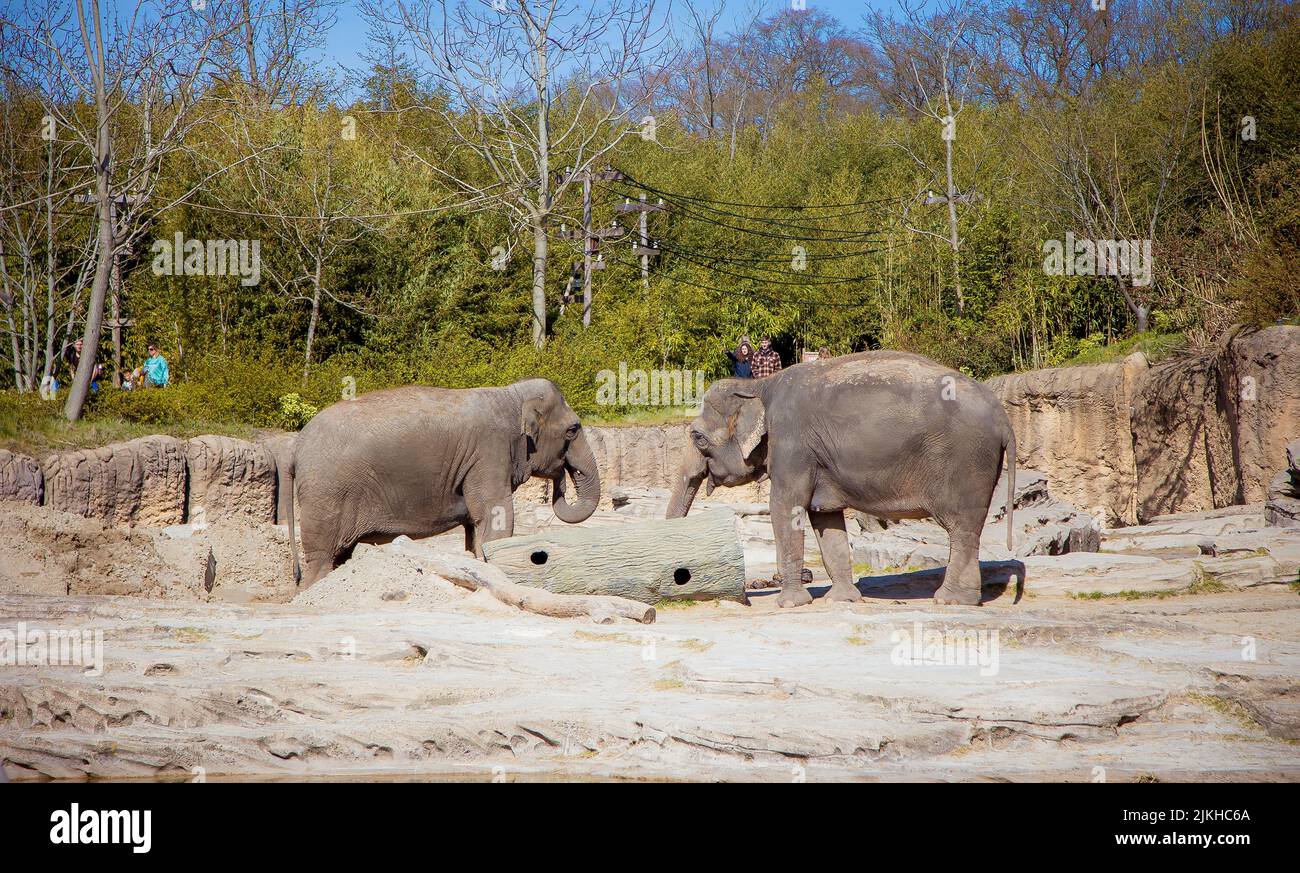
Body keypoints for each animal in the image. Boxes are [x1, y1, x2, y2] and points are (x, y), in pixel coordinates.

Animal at [284, 378, 600, 587]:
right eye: (573, 430)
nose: (560, 479)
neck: (511, 396)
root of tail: (295, 447)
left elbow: (476, 526)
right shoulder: (489, 453)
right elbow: (497, 516)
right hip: (326, 494)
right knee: (322, 557)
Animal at [666, 351, 1016, 608]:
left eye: (697, 437)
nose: (679, 579)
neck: (759, 385)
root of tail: (1003, 418)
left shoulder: (793, 445)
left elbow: (786, 507)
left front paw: (791, 604)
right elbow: (825, 518)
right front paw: (842, 600)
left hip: (967, 462)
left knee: (961, 528)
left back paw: (948, 600)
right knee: (968, 530)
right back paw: (964, 600)